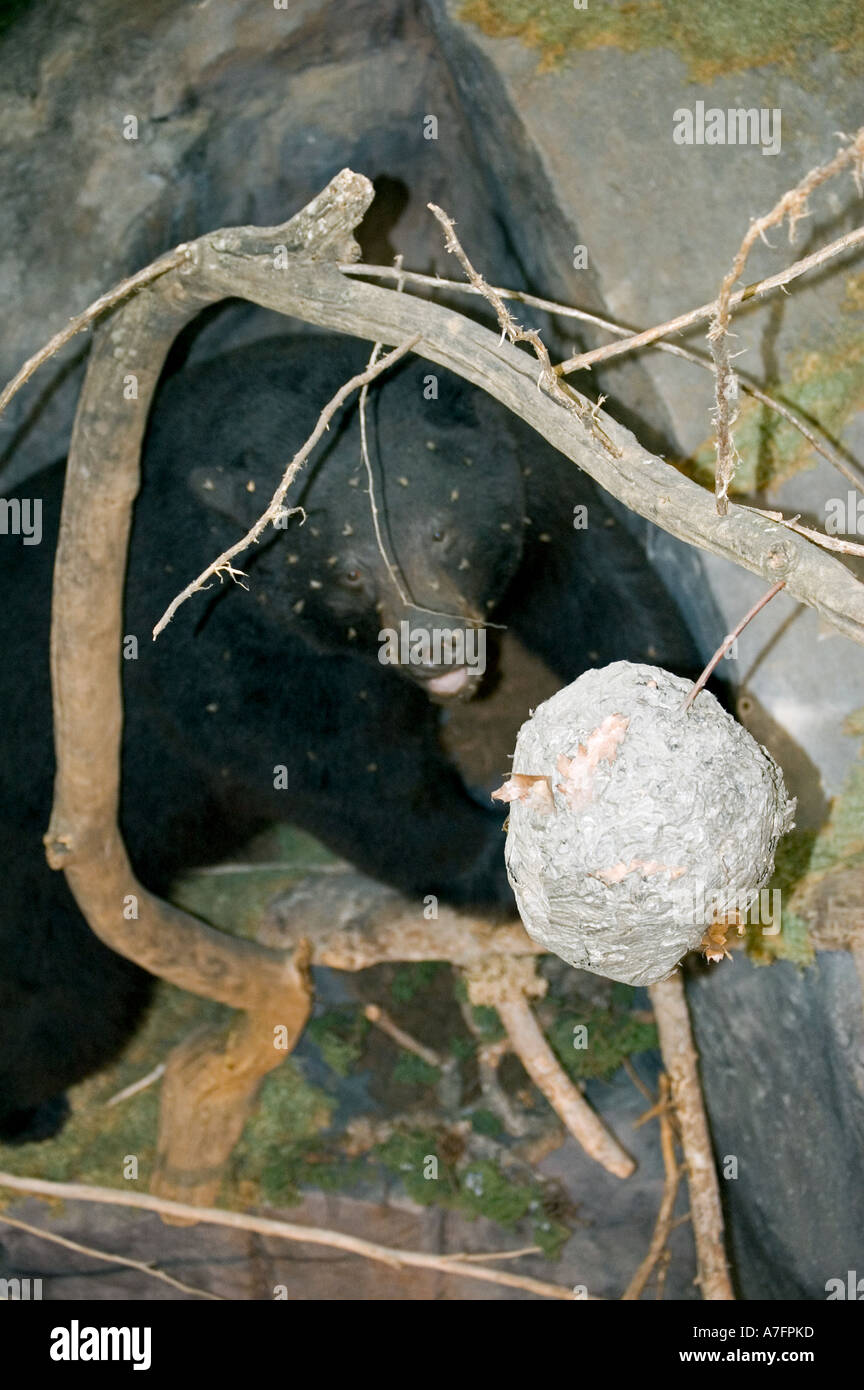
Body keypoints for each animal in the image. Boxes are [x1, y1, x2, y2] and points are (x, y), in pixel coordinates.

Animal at [0, 332, 701, 1142]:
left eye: (441, 530)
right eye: (348, 573)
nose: (437, 650)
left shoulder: (533, 477)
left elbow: (595, 584)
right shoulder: (213, 647)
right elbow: (342, 771)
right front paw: (500, 866)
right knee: (65, 1005)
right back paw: (33, 1110)